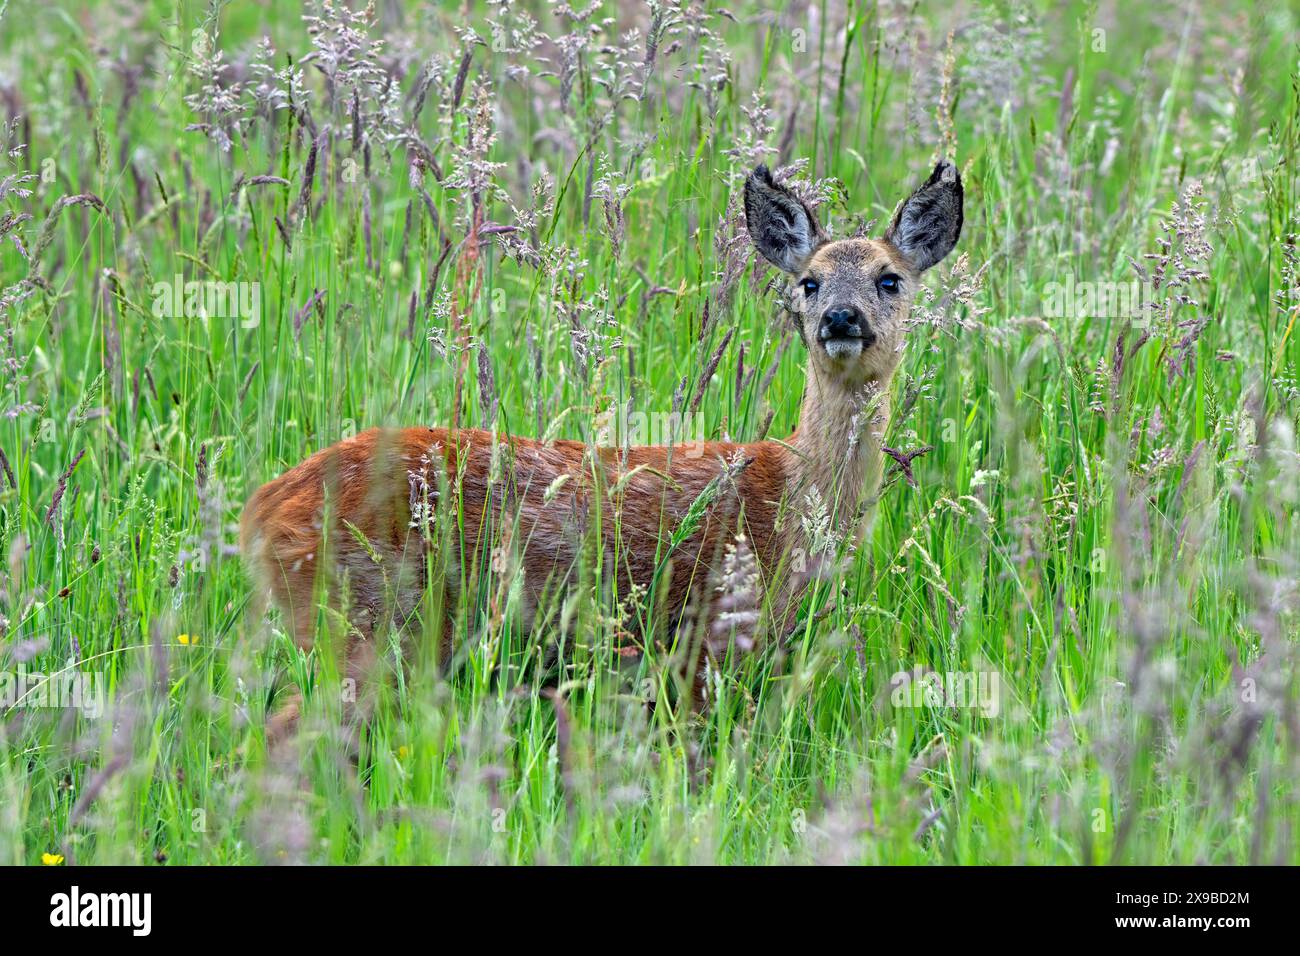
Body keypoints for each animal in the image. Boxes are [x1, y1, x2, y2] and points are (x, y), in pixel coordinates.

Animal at [239, 160, 963, 737]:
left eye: (890, 279)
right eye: (809, 281)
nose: (841, 318)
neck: (797, 495)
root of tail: (263, 511)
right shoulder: (708, 637)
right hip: (370, 624)